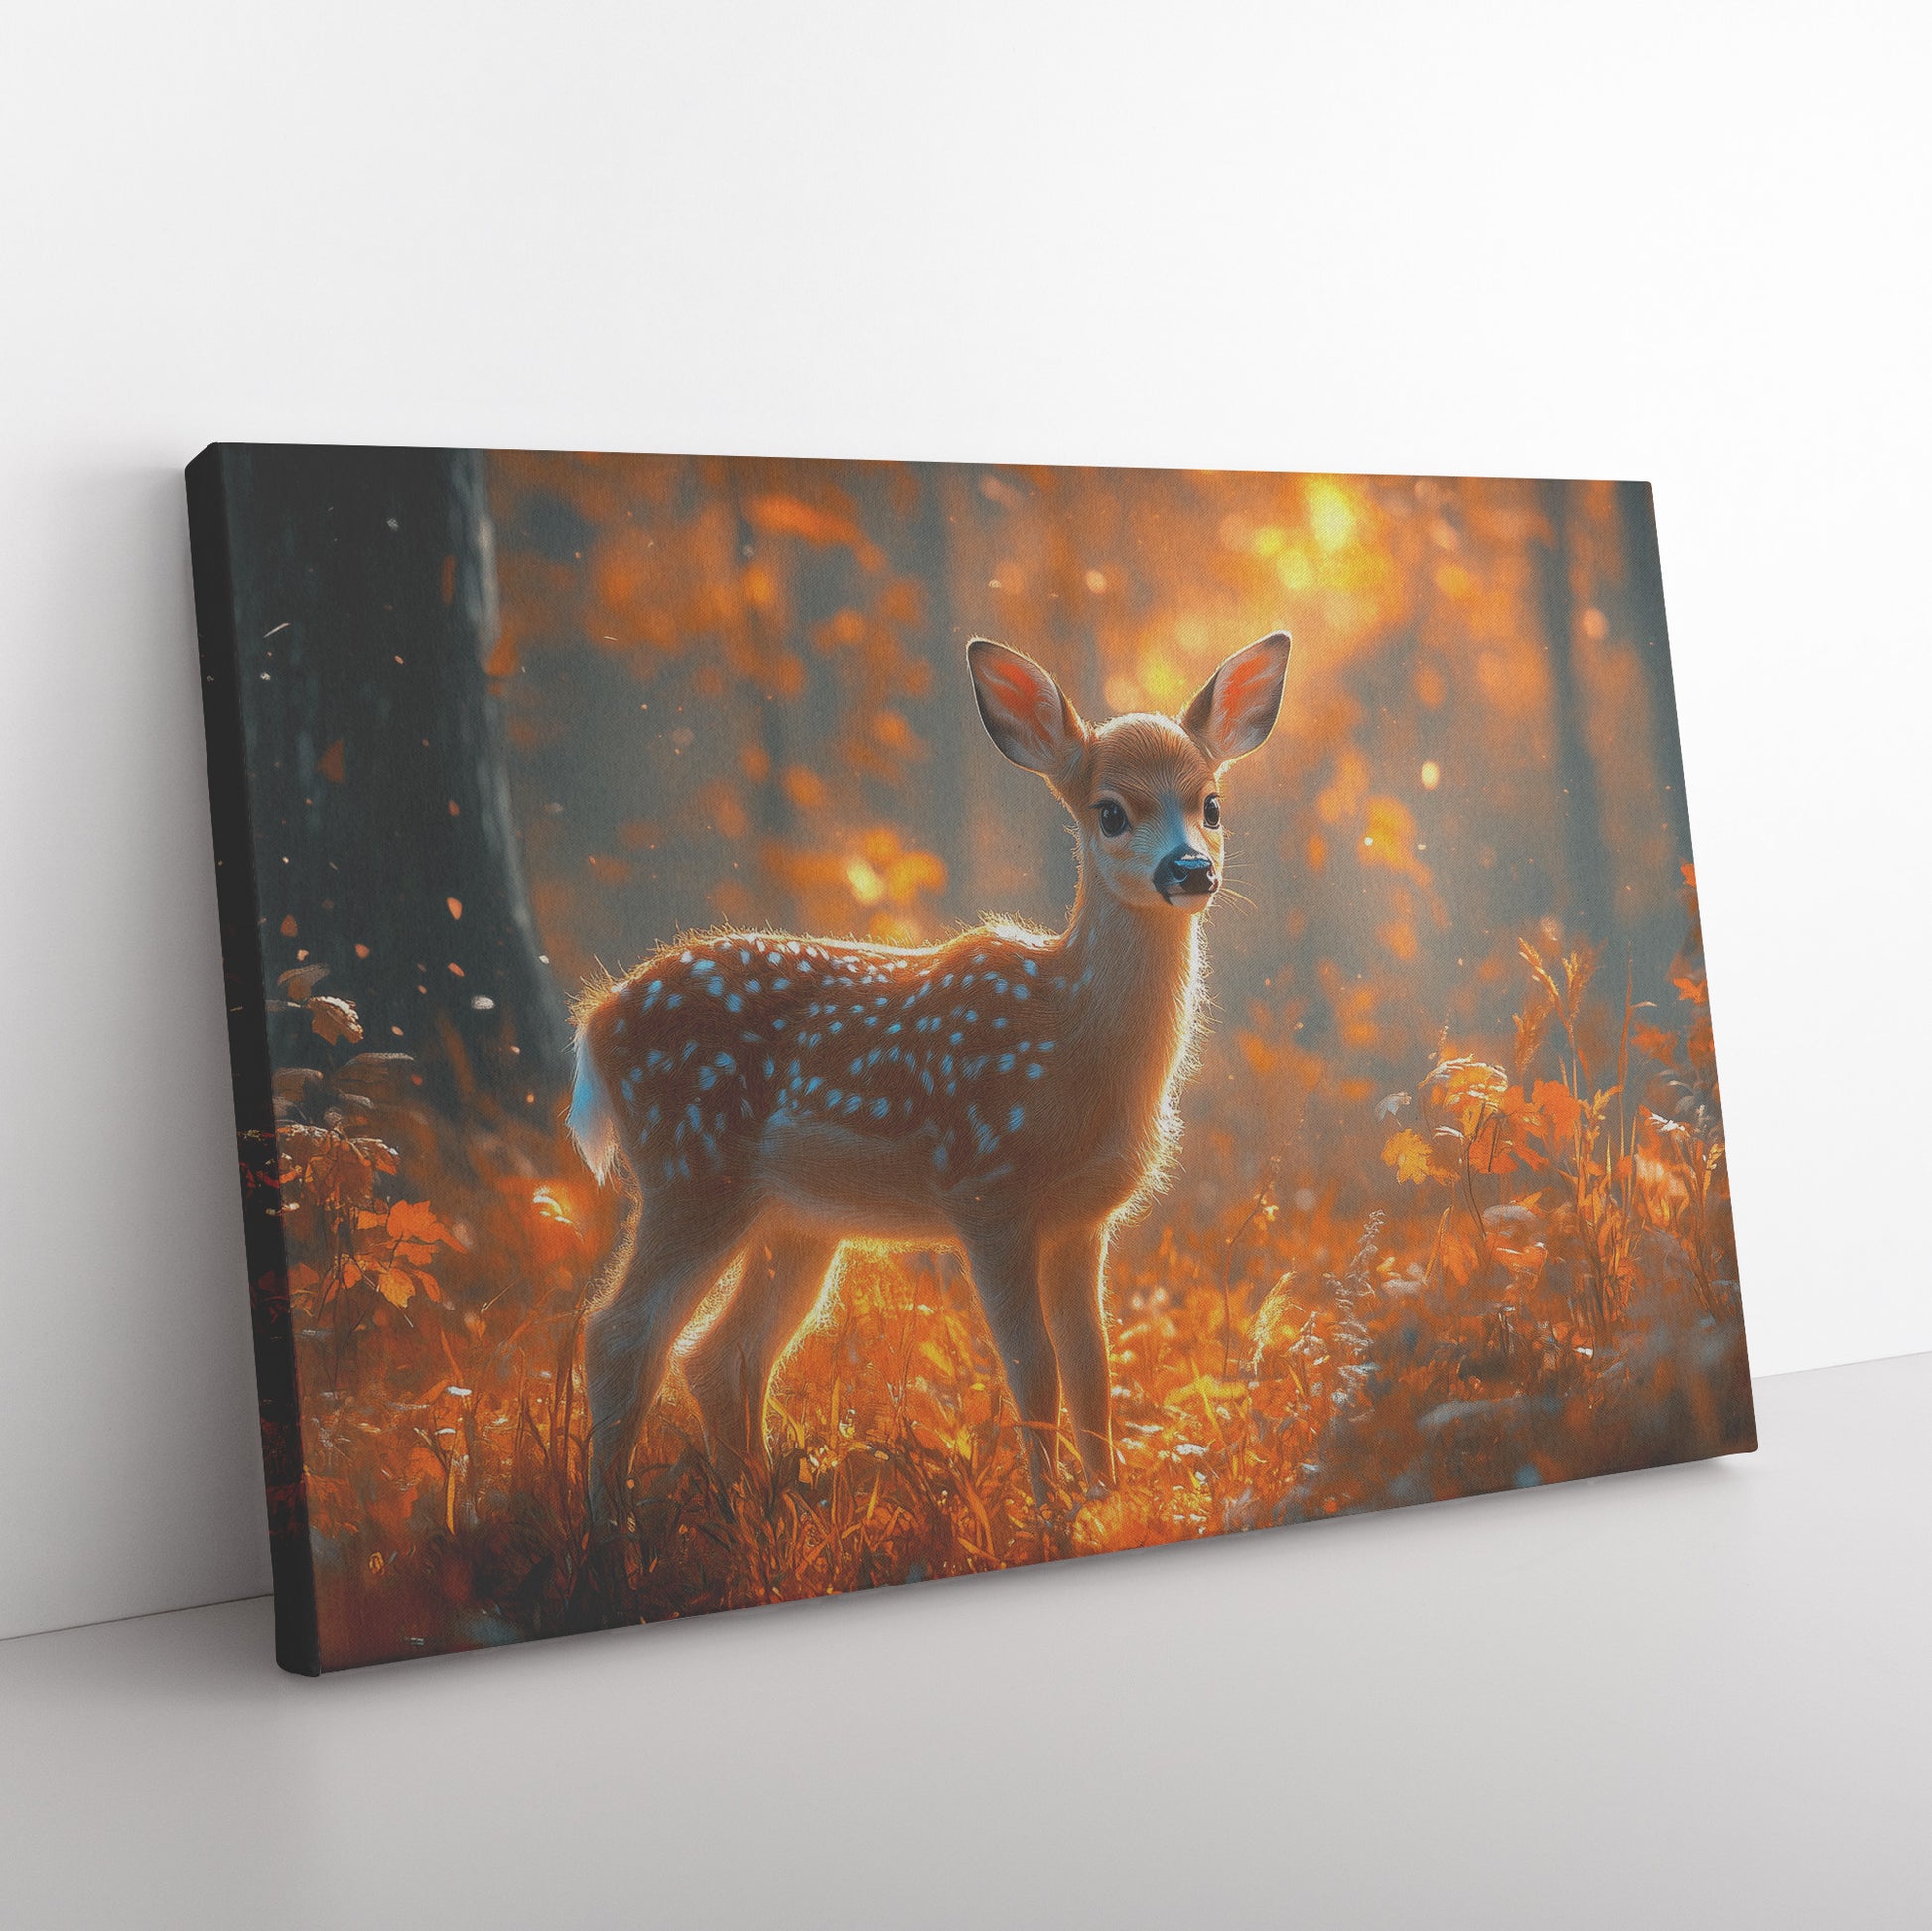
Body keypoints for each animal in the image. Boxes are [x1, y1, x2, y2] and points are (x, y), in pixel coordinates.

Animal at [566, 629, 1291, 1527]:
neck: (1073, 1038)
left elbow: (1094, 1368)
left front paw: (1107, 1504)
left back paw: (759, 1509)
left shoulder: (1083, 1219)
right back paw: (612, 1527)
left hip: (793, 1217)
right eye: (1111, 810)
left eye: (1211, 802)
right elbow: (1033, 1368)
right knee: (620, 1333)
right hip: (691, 1166)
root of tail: (595, 1024)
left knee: (721, 1353)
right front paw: (1050, 1514)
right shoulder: (988, 1193)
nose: (1189, 869)